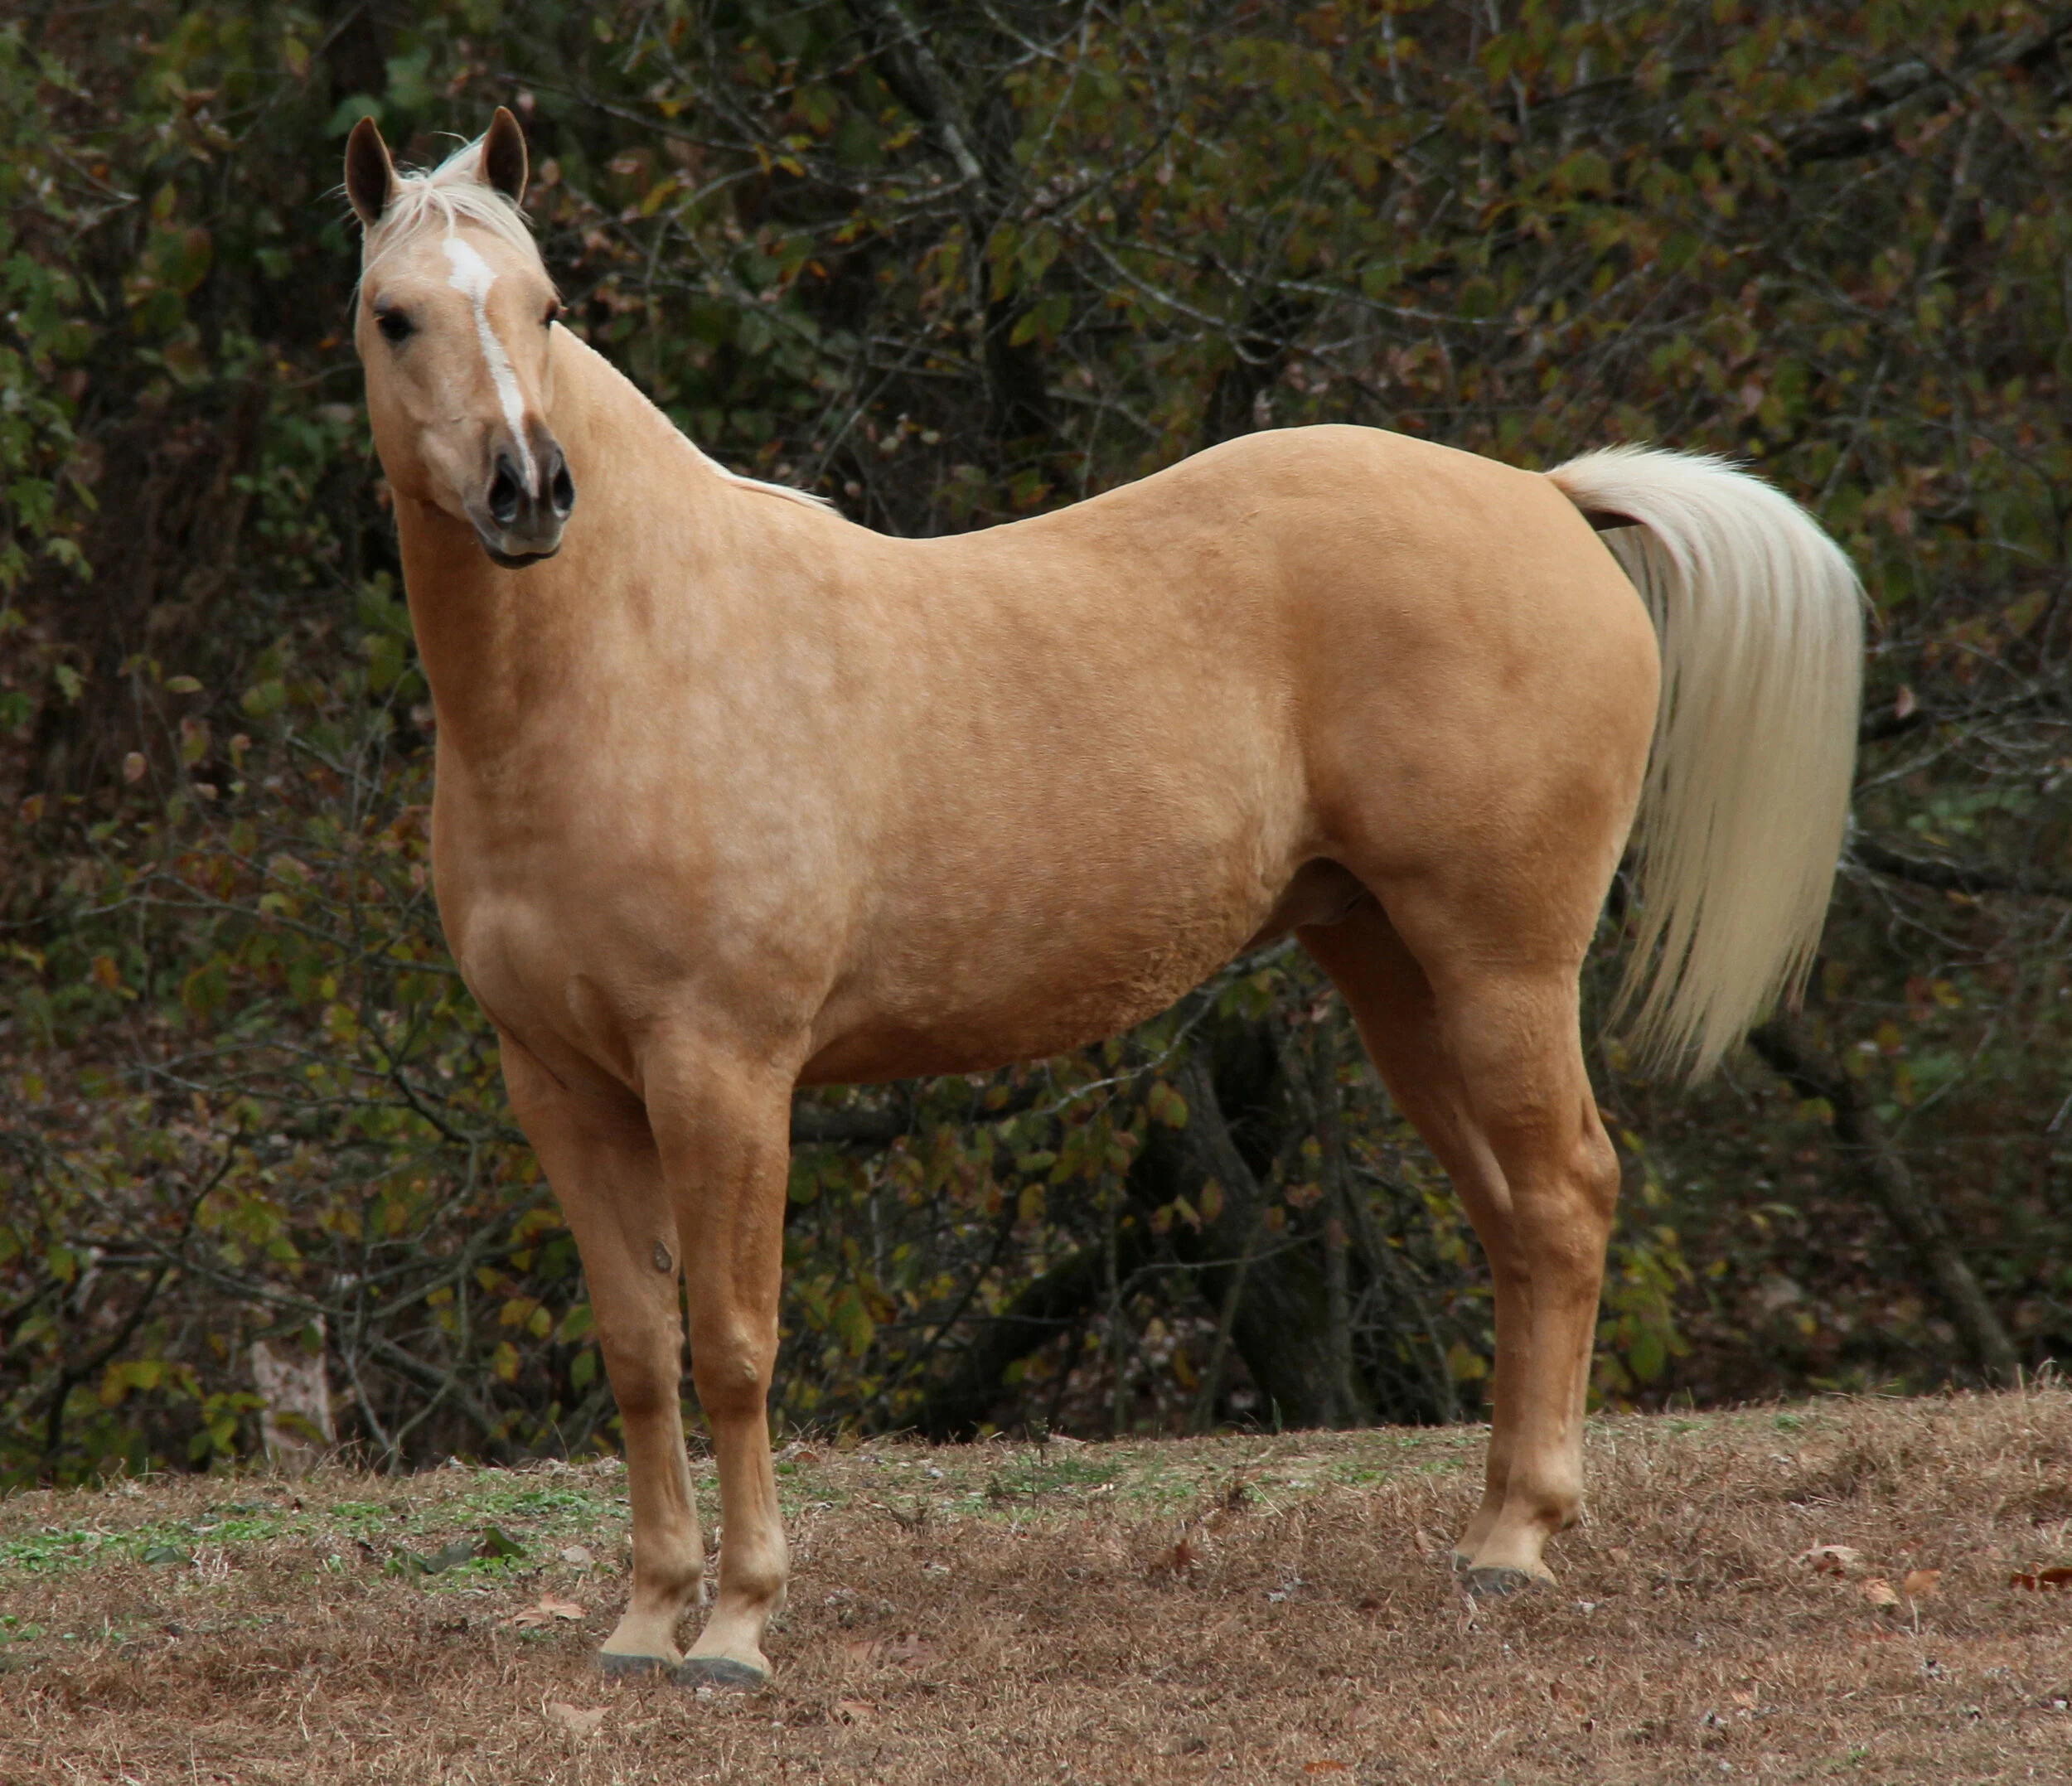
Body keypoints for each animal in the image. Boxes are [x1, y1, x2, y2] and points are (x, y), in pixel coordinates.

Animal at [343, 109, 1862, 1688]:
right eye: (395, 317)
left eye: (547, 309)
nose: (529, 492)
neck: (633, 660)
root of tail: (1550, 497)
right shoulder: (563, 1087)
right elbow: (644, 1356)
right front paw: (647, 1624)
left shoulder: (726, 1071)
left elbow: (740, 1344)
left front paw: (740, 1627)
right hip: (1392, 969)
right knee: (1512, 1219)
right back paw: (1491, 1527)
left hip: (1504, 965)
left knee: (1566, 1199)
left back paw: (1518, 1543)